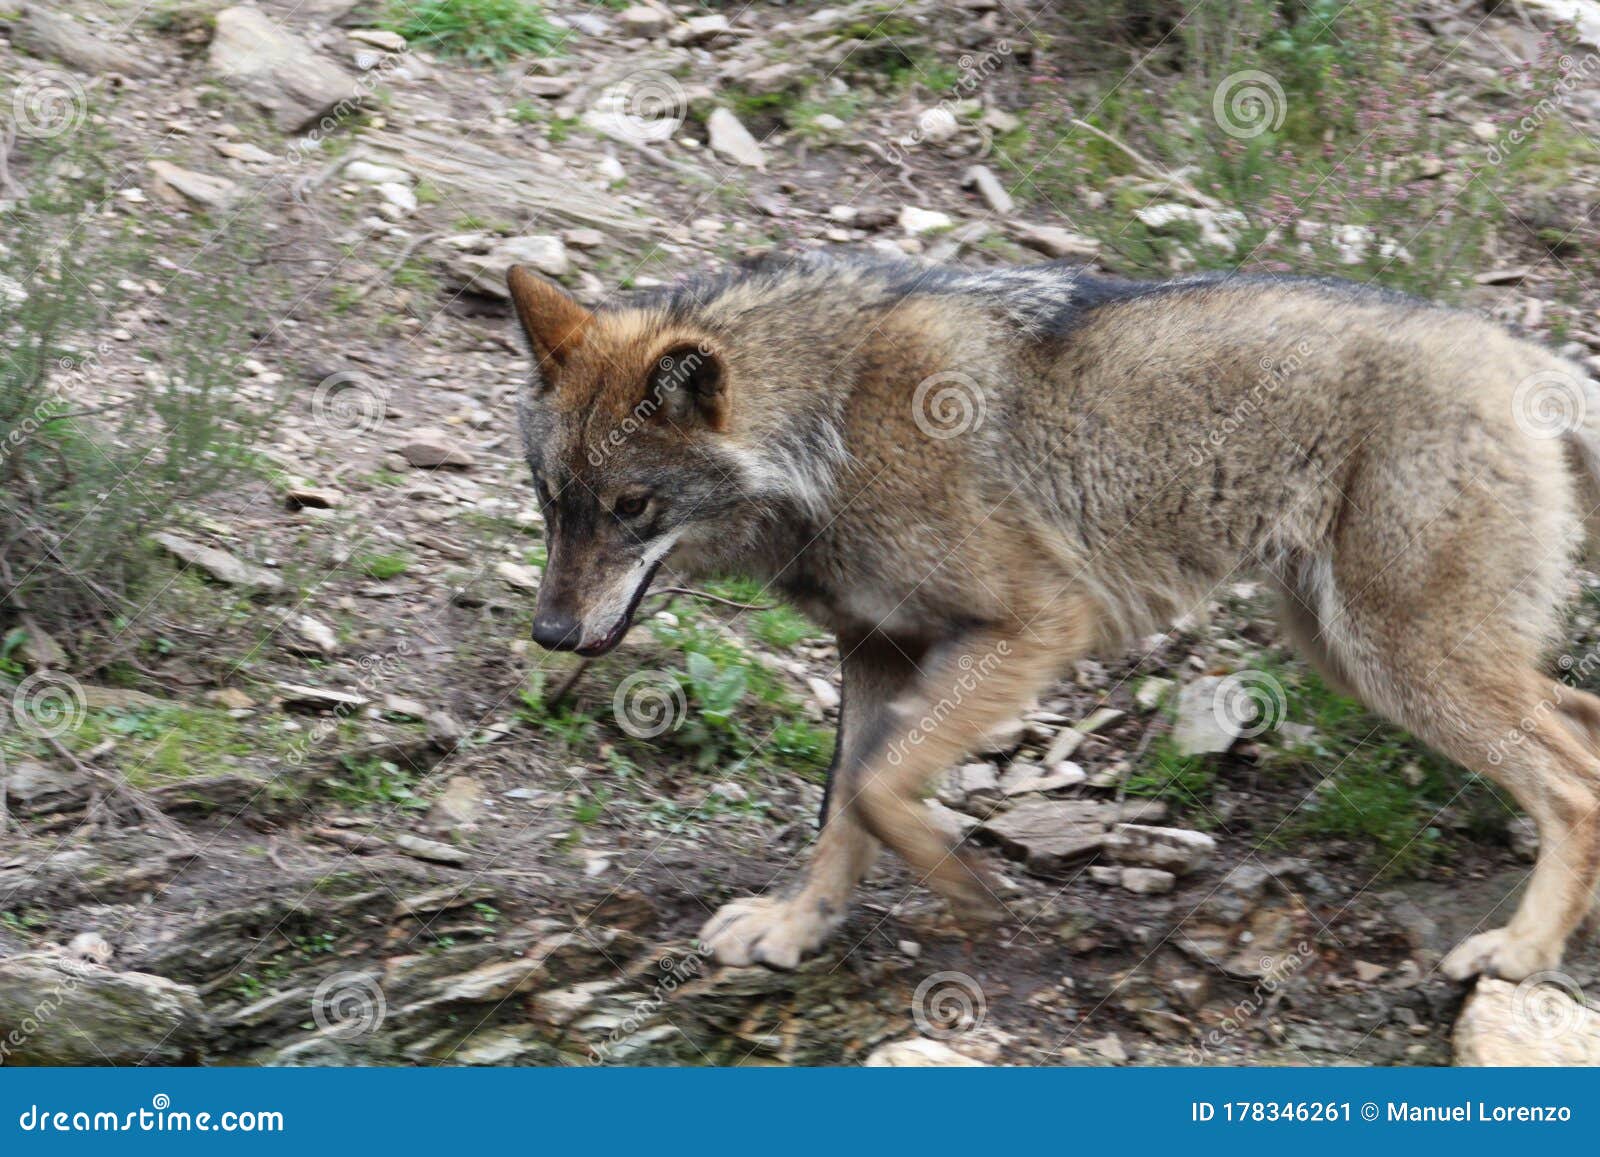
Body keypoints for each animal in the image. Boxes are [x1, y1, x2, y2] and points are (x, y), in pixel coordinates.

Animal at [506, 251, 1600, 980]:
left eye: (632, 507)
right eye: (552, 500)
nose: (549, 637)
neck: (832, 421)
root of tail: (1520, 352)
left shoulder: (1034, 626)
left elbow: (877, 788)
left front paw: (962, 885)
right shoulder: (874, 649)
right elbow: (844, 806)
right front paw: (797, 925)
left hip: (1397, 659)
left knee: (1571, 782)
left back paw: (1521, 950)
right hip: (1352, 651)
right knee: (1578, 731)